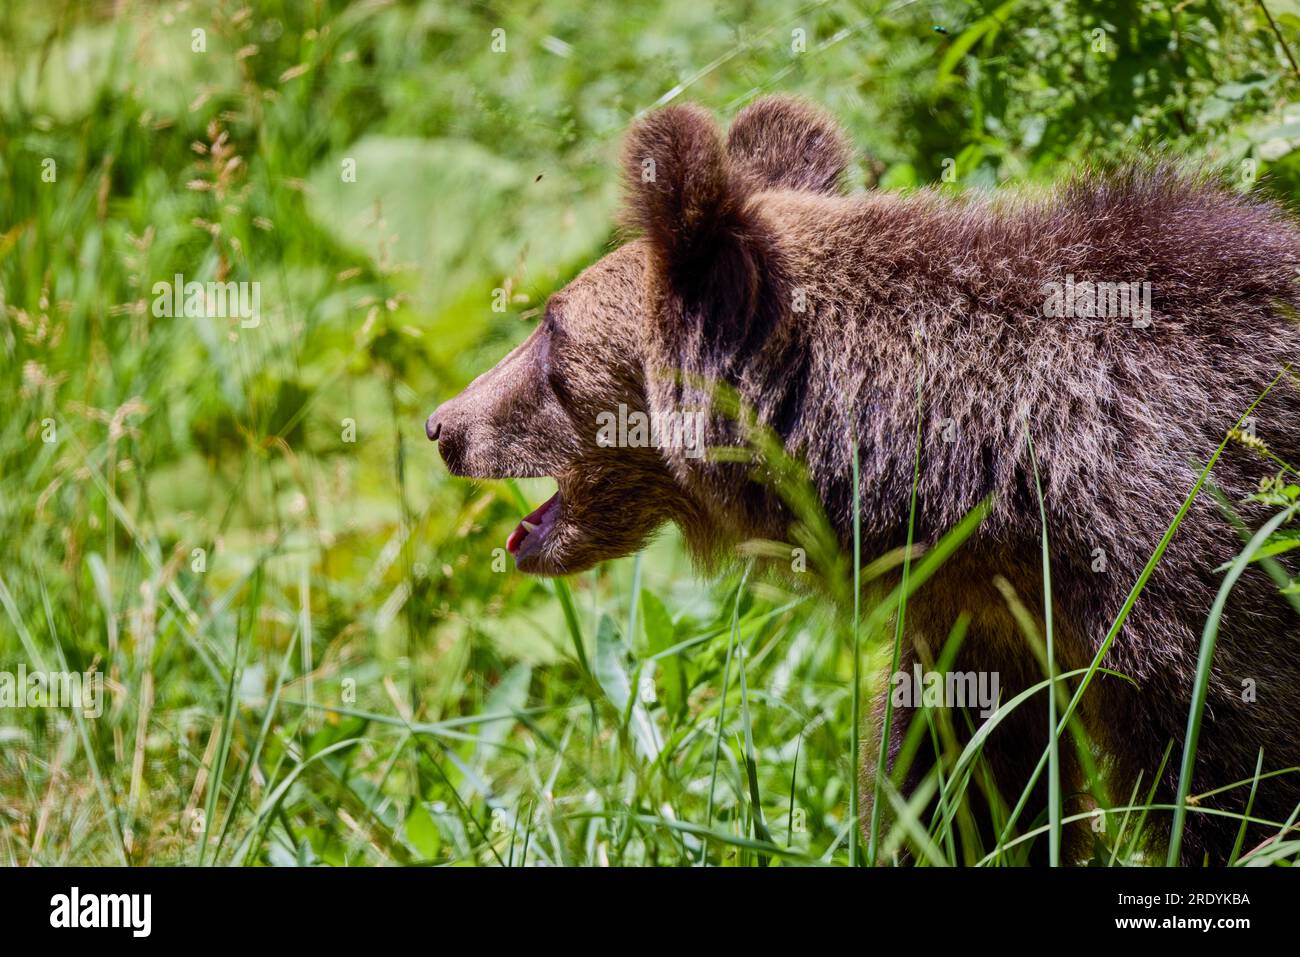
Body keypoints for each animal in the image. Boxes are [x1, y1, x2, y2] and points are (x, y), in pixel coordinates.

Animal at [426, 96, 1300, 865]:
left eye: (550, 326)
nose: (444, 425)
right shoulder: (976, 619)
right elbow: (962, 788)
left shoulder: (1190, 566)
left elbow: (1241, 781)